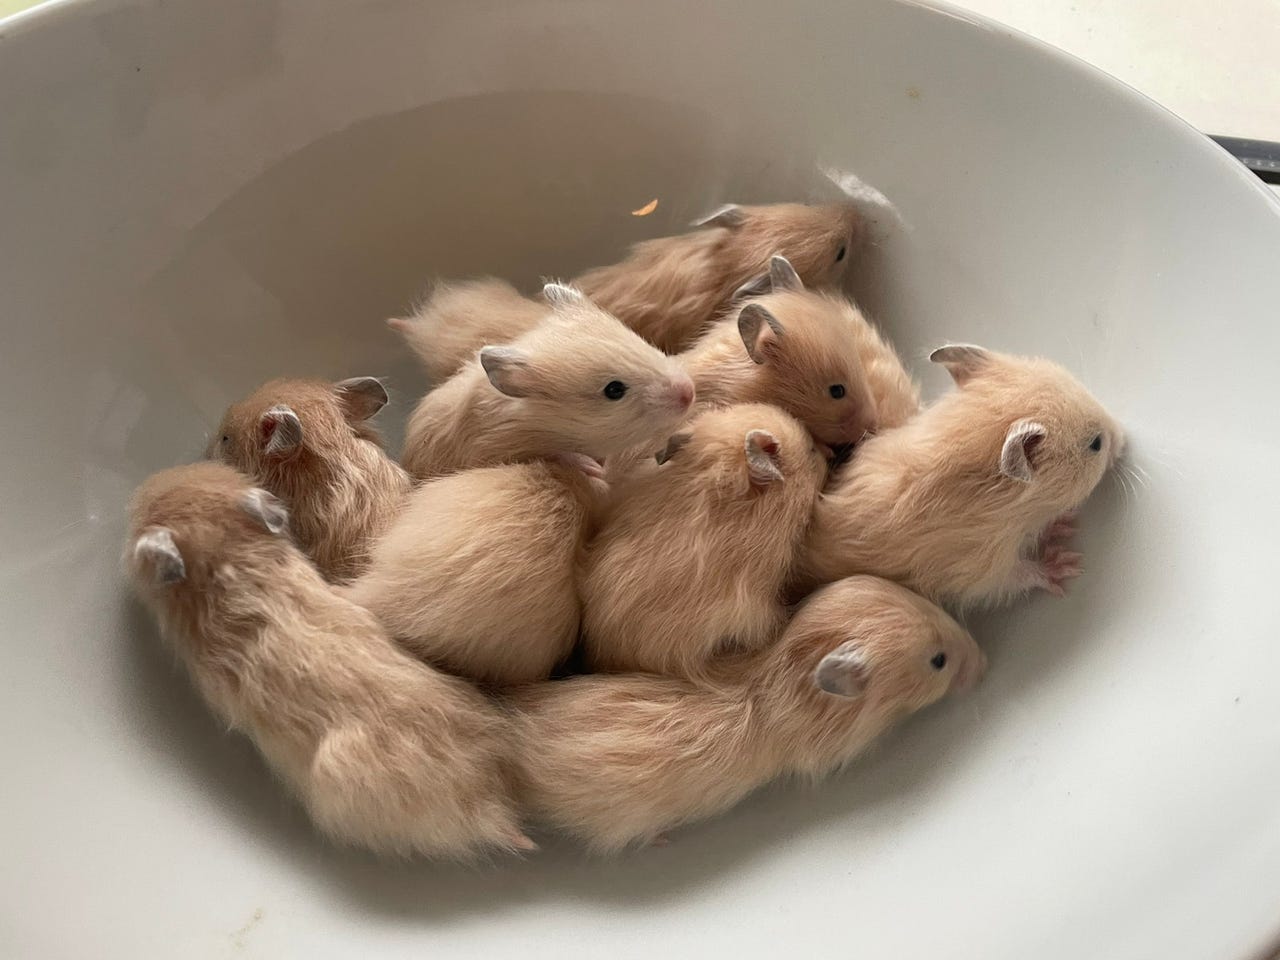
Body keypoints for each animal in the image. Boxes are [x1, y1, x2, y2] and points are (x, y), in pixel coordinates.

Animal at [800, 344, 1124, 607]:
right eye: (1095, 444)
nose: (1124, 440)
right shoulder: (985, 567)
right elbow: (1023, 574)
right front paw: (1066, 566)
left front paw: (1065, 524)